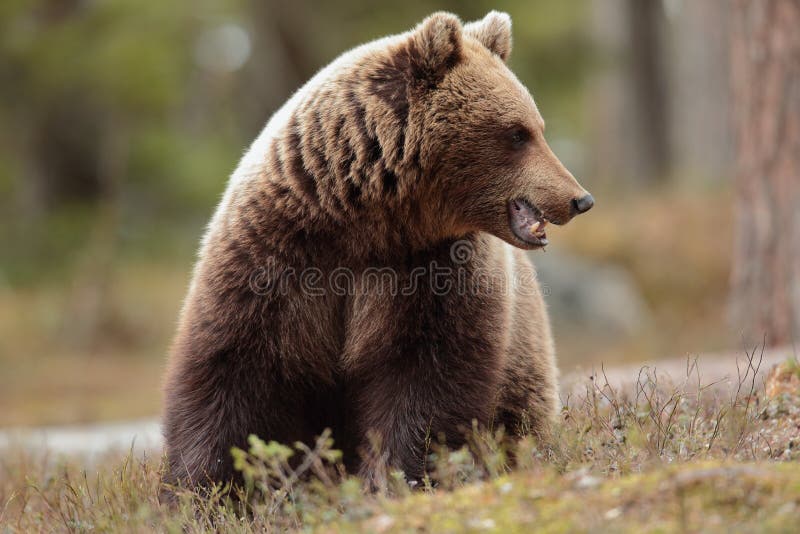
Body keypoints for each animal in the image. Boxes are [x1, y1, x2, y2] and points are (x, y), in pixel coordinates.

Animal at [162, 11, 593, 491]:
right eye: (518, 133)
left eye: (538, 128)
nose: (579, 199)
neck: (366, 220)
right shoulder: (274, 257)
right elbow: (233, 371)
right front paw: (204, 487)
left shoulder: (432, 269)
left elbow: (424, 375)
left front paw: (391, 478)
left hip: (526, 374)